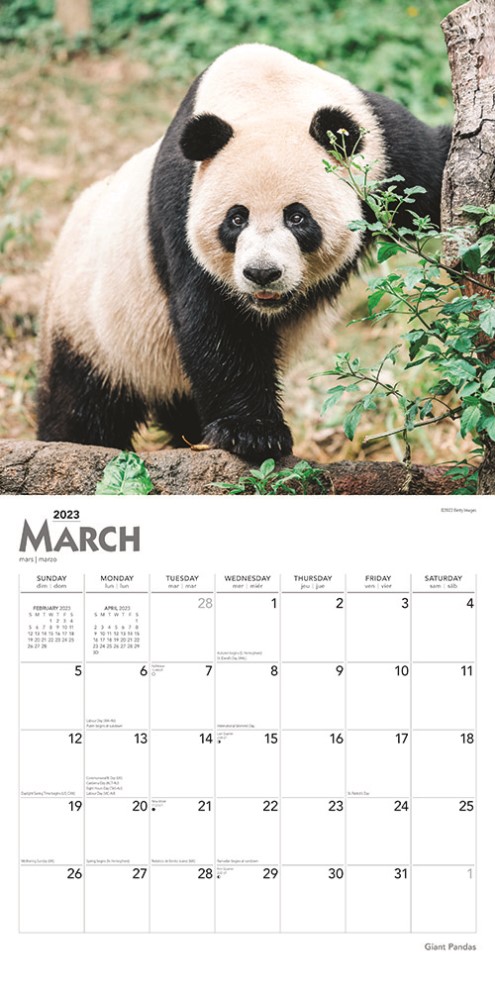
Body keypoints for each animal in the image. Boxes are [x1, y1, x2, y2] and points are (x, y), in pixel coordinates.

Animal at [37, 43, 452, 459]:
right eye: (236, 219)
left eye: (297, 217)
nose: (262, 273)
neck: (266, 94)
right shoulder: (183, 201)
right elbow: (218, 319)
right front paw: (254, 432)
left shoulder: (385, 148)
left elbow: (434, 173)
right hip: (94, 326)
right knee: (80, 404)